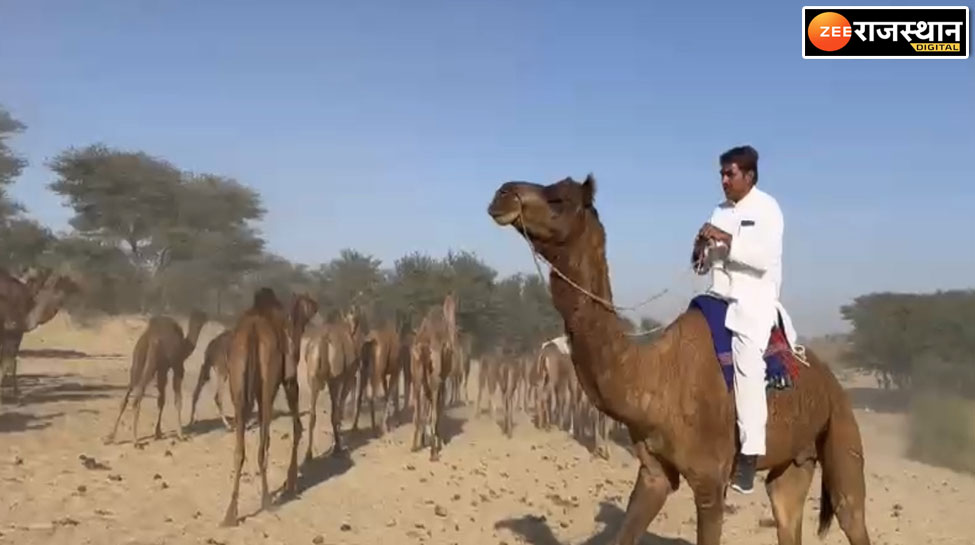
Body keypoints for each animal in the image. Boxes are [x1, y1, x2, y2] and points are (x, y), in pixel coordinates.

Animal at [0, 267, 80, 403]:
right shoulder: (12, 331)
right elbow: (8, 362)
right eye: (66, 280)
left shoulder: (11, 333)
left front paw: (15, 393)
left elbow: (9, 362)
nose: (77, 286)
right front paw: (15, 395)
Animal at [105, 310, 207, 444]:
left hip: (138, 359)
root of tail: (148, 337)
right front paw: (180, 435)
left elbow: (161, 400)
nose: (207, 317)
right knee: (138, 396)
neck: (185, 346)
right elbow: (178, 400)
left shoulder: (162, 368)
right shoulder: (177, 365)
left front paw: (158, 433)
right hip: (152, 362)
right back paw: (136, 441)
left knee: (127, 394)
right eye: (202, 315)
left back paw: (111, 437)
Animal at [222, 288, 318, 527]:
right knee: (263, 444)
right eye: (309, 301)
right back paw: (266, 500)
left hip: (238, 384)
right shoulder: (289, 376)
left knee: (240, 449)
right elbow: (297, 427)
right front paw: (290, 483)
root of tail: (253, 334)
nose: (317, 306)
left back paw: (230, 514)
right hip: (268, 383)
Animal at [410, 293, 457, 461]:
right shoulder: (442, 377)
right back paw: (433, 453)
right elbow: (439, 406)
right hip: (435, 376)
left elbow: (425, 406)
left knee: (418, 408)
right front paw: (438, 439)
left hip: (416, 374)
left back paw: (414, 446)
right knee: (435, 407)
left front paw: (426, 438)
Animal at [488, 175, 870, 545]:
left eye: (559, 199)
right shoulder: (654, 472)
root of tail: (829, 379)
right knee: (786, 511)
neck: (653, 375)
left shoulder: (711, 481)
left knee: (850, 509)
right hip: (795, 460)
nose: (502, 193)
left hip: (841, 429)